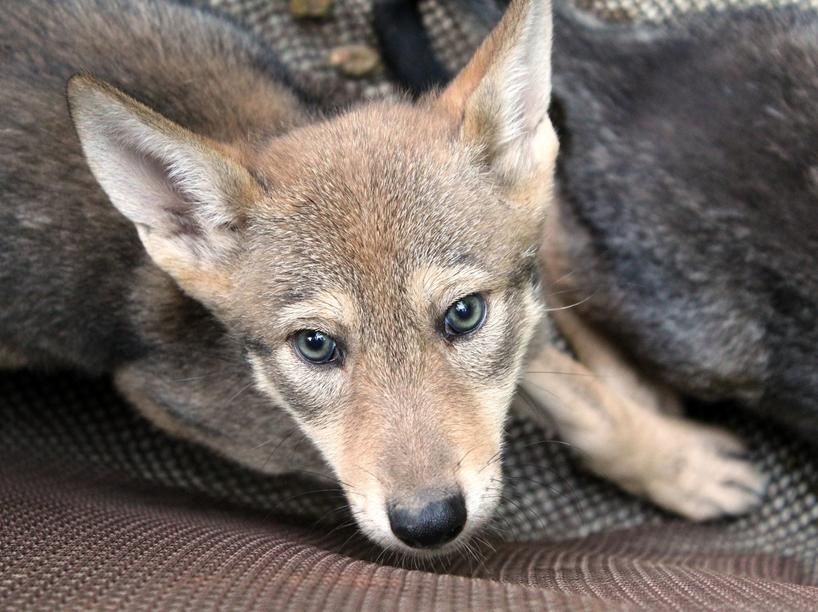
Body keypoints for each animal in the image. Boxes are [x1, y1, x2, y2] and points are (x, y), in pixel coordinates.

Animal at [0, 0, 765, 556]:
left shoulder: (517, 321)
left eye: (463, 315)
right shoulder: (162, 397)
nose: (429, 525)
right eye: (314, 346)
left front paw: (680, 465)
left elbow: (589, 404)